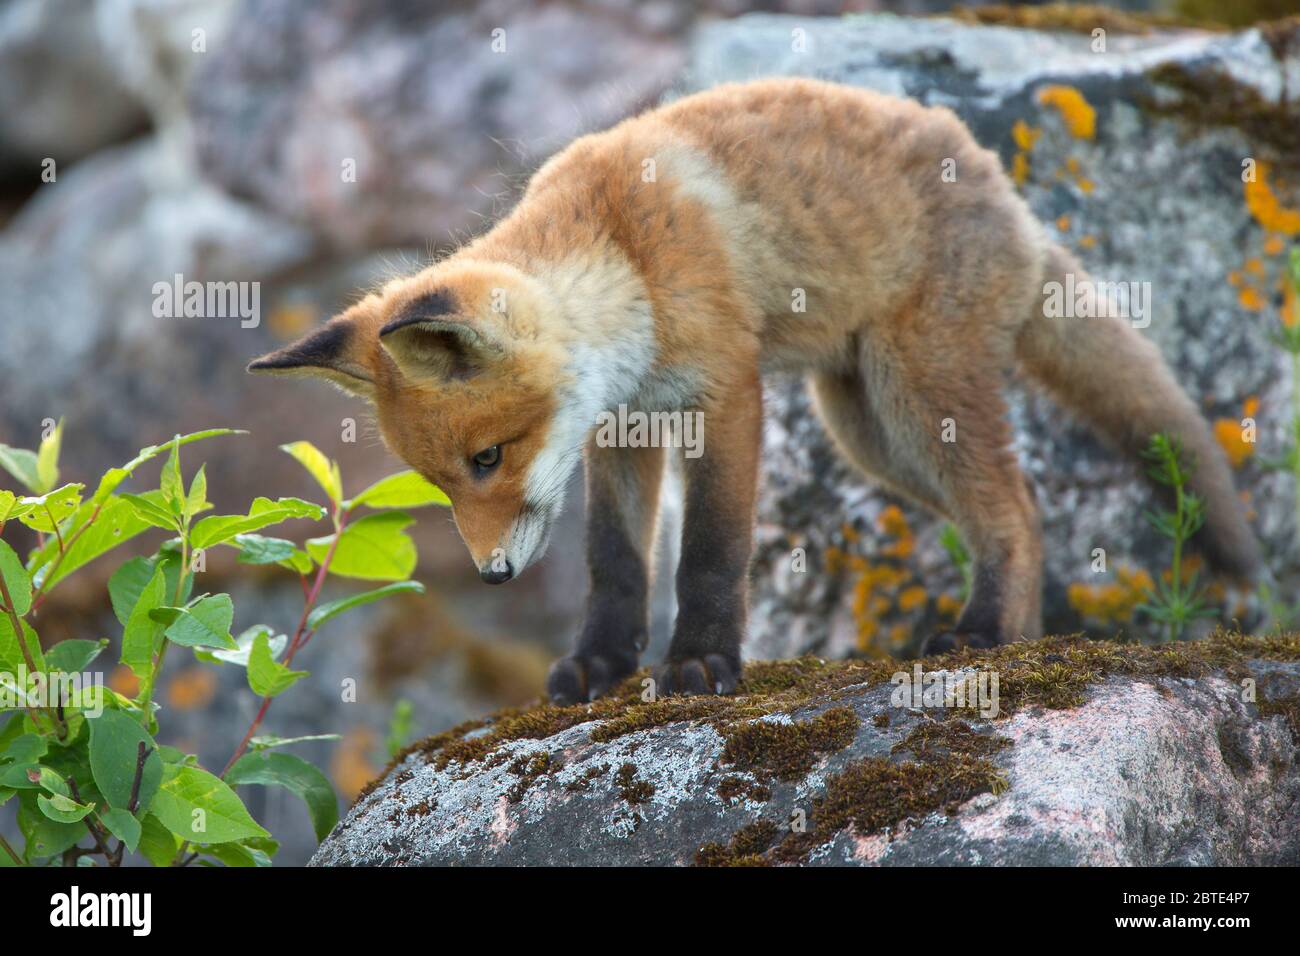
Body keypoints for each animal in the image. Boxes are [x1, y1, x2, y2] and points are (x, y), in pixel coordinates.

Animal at [249, 77, 1261, 703]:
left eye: (488, 456)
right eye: (442, 482)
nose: (494, 574)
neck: (625, 257)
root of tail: (1005, 189)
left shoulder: (723, 395)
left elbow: (710, 549)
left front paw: (700, 662)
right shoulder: (620, 429)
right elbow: (617, 563)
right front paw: (600, 664)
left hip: (912, 396)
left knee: (1012, 507)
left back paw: (982, 639)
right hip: (865, 428)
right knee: (1024, 510)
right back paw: (1013, 635)